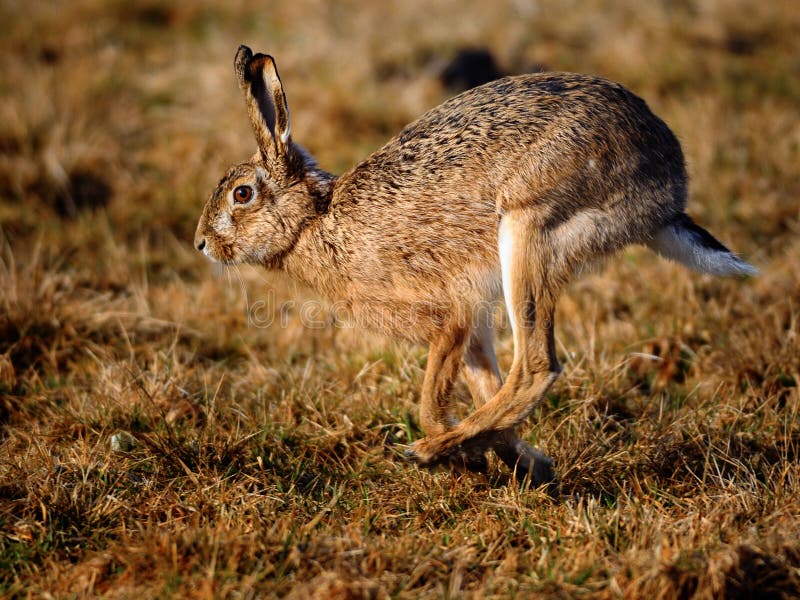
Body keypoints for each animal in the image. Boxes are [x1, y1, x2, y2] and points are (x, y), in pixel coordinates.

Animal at [195, 46, 757, 486]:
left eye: (242, 194)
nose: (201, 243)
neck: (314, 219)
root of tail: (667, 190)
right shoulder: (471, 321)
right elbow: (484, 383)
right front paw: (523, 462)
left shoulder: (444, 314)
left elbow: (431, 400)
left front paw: (450, 450)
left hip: (528, 231)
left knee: (536, 365)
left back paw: (430, 452)